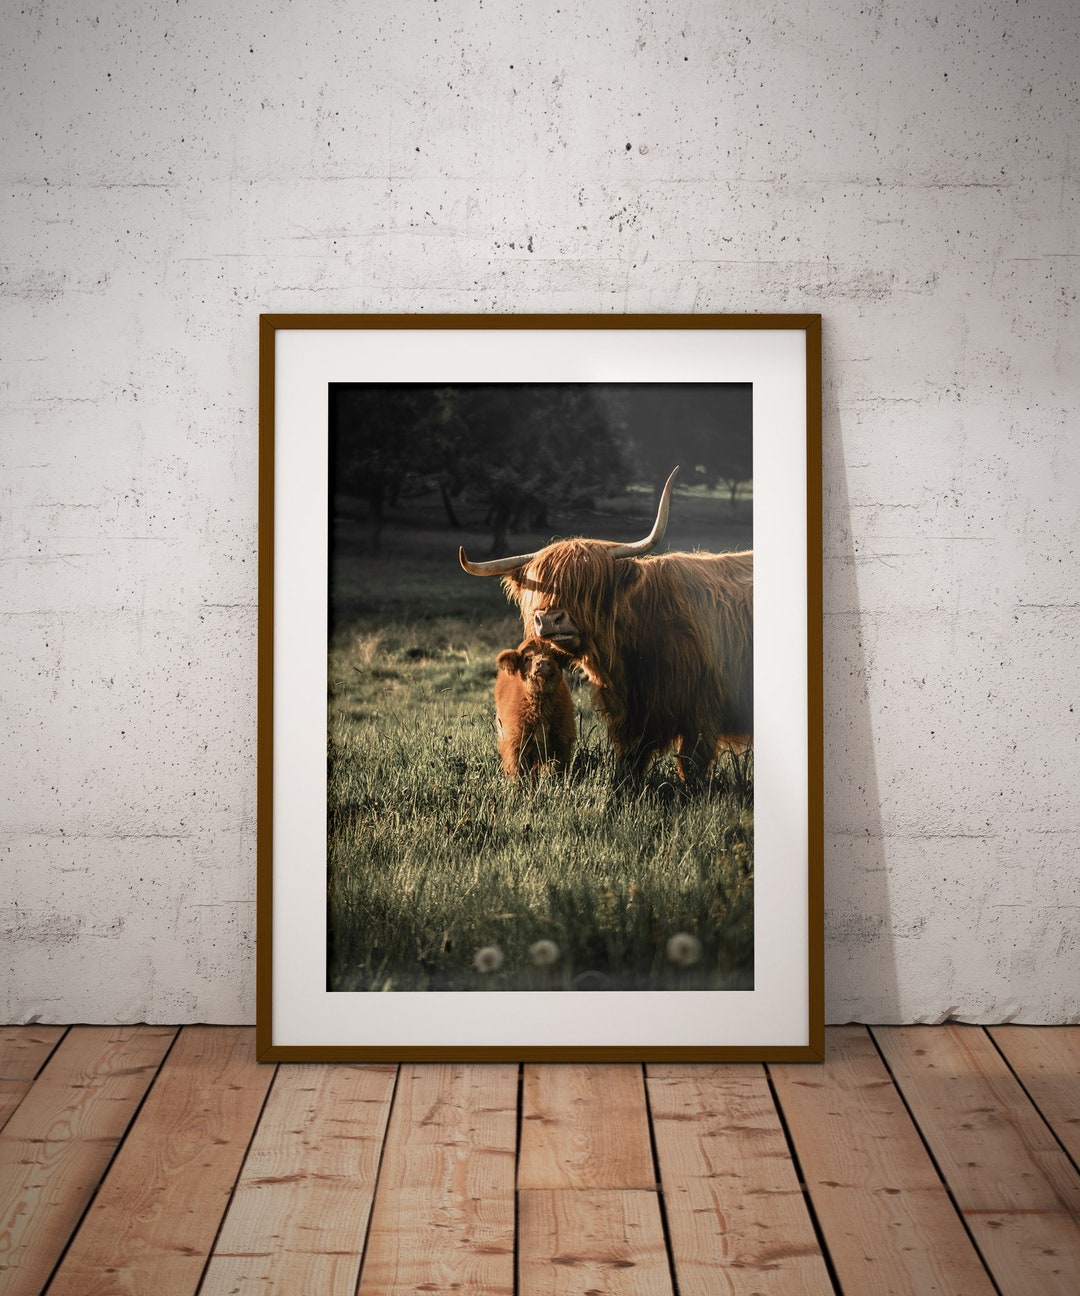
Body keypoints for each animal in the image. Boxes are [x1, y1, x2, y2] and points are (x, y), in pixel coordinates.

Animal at [494, 637, 576, 778]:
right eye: (527, 658)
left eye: (554, 655)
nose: (542, 663)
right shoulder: (515, 742)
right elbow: (516, 770)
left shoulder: (562, 740)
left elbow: (557, 768)